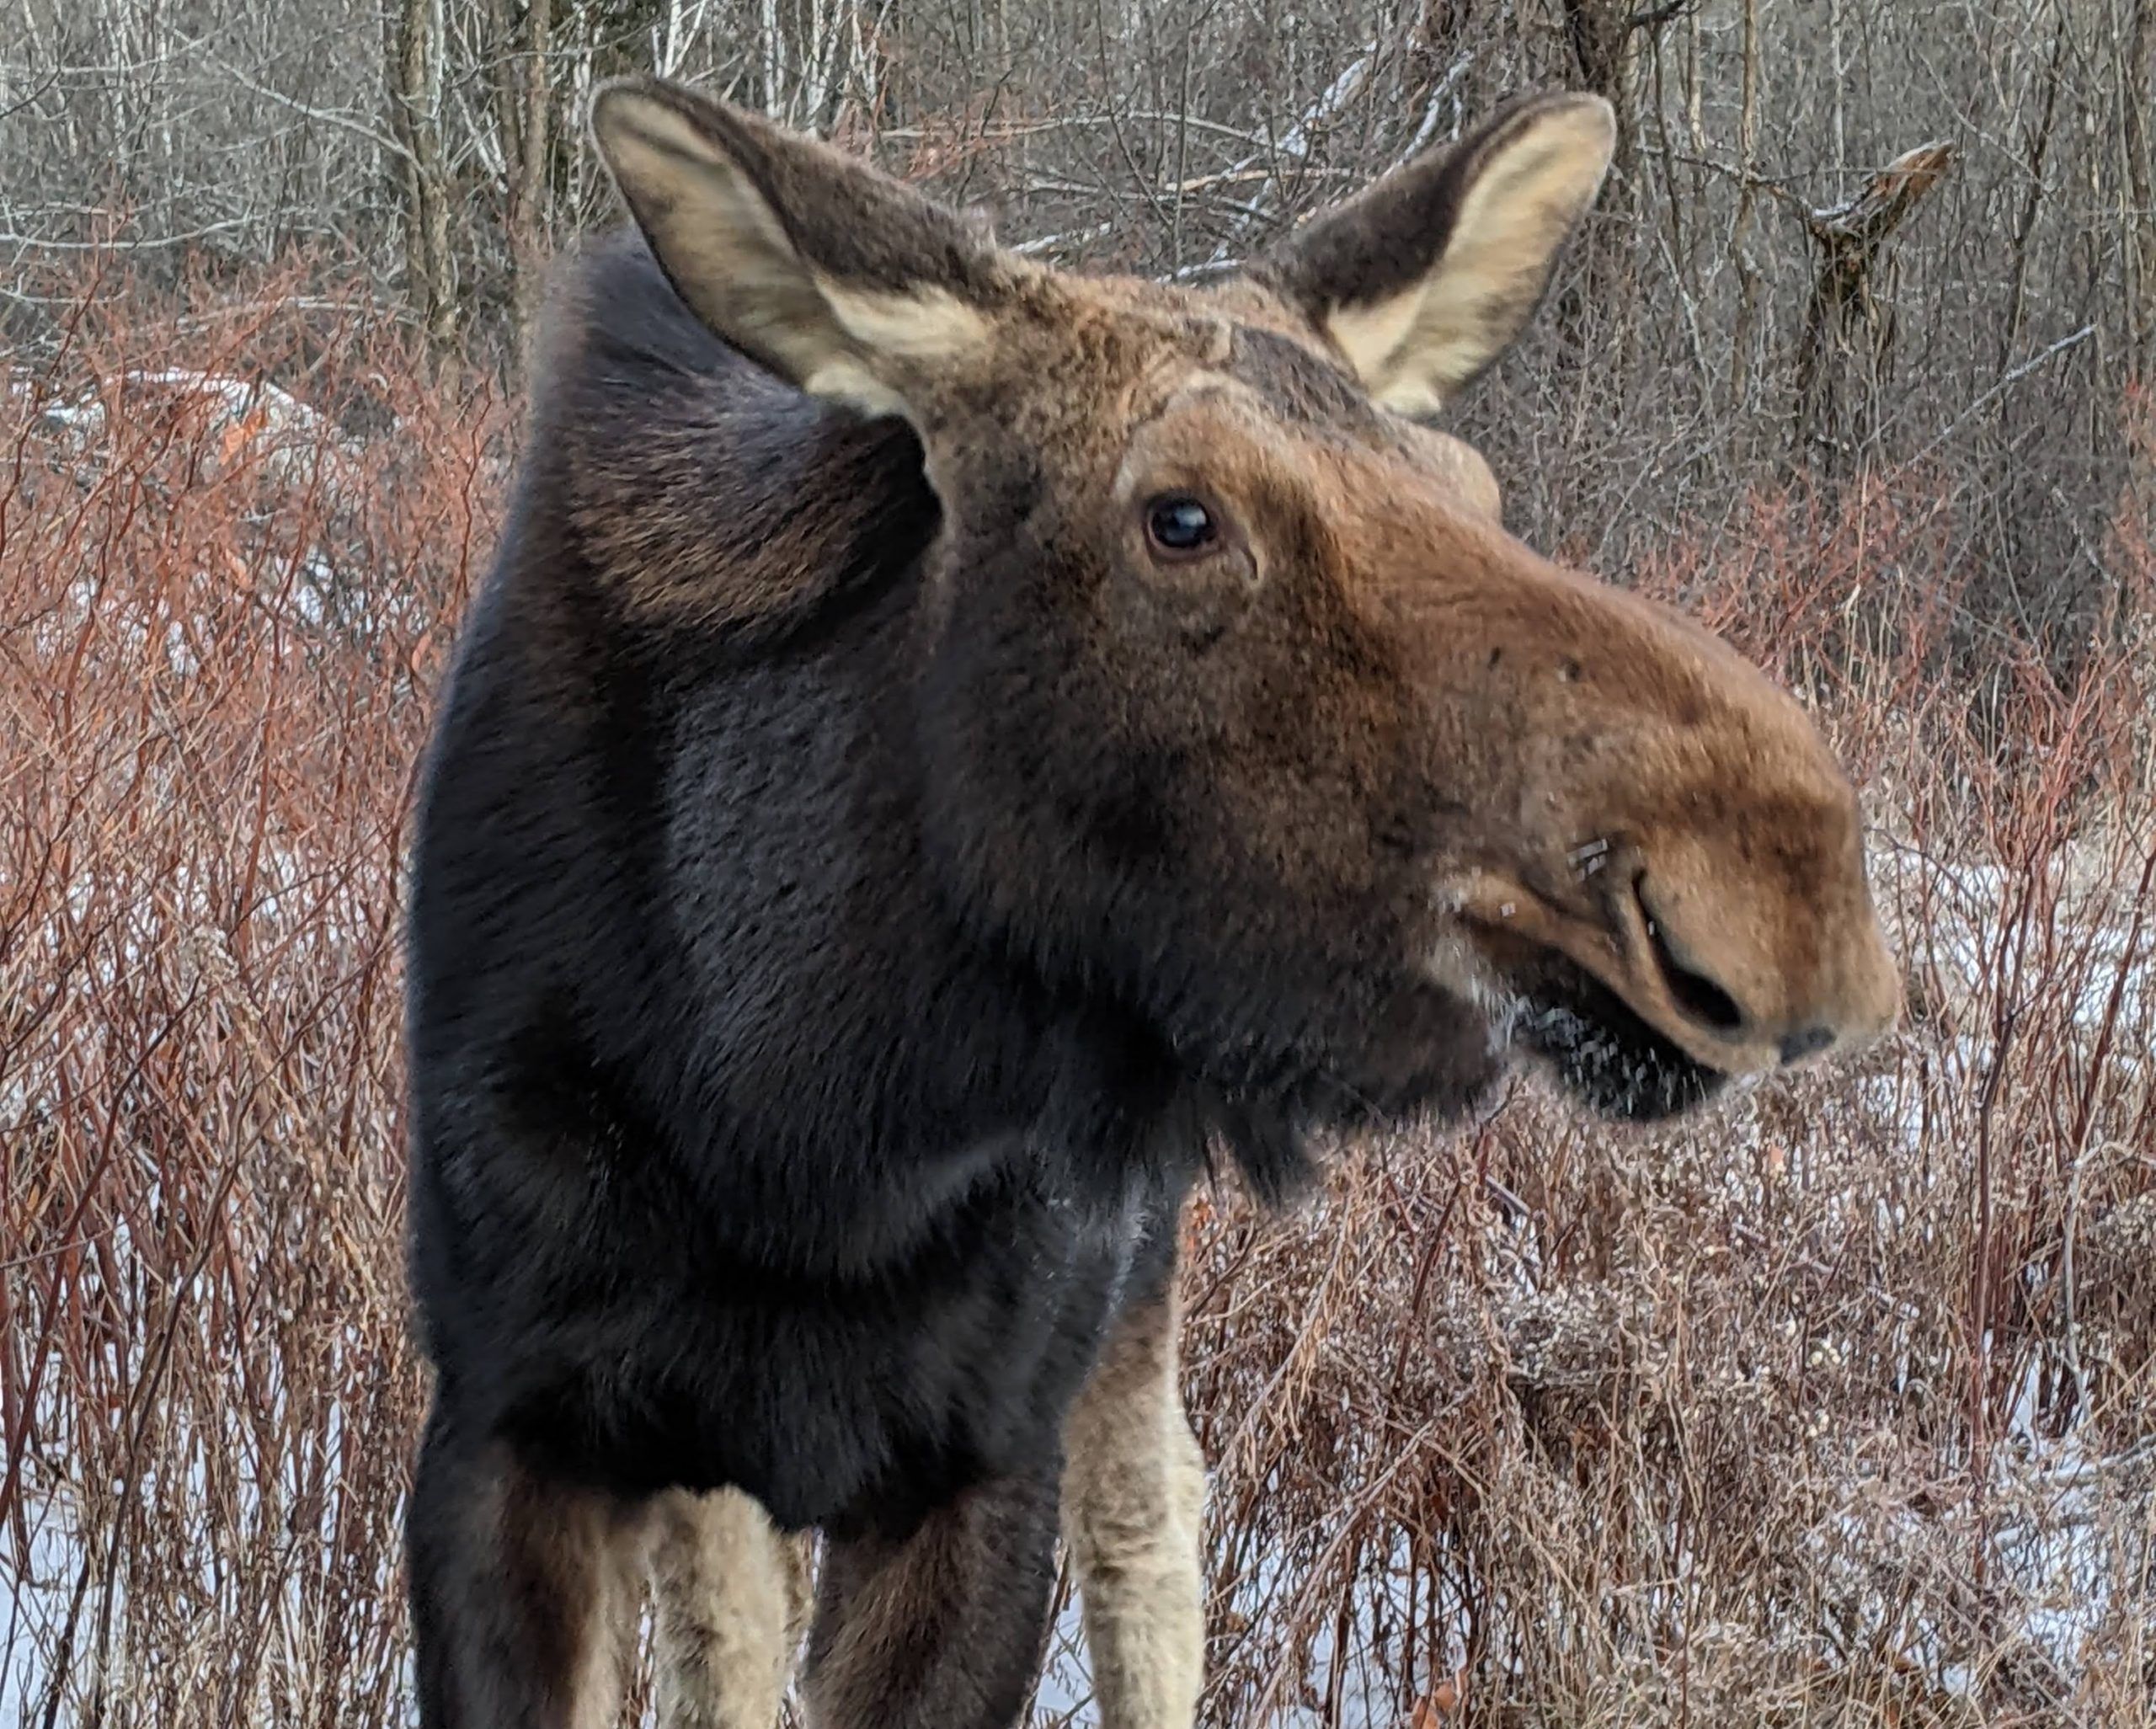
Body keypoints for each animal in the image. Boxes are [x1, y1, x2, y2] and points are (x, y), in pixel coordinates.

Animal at [400, 75, 1899, 1729]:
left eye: (1472, 489)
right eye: (1182, 518)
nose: (1787, 898)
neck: (797, 1124)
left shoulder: (980, 1451)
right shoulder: (511, 1414)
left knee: (1152, 1539)